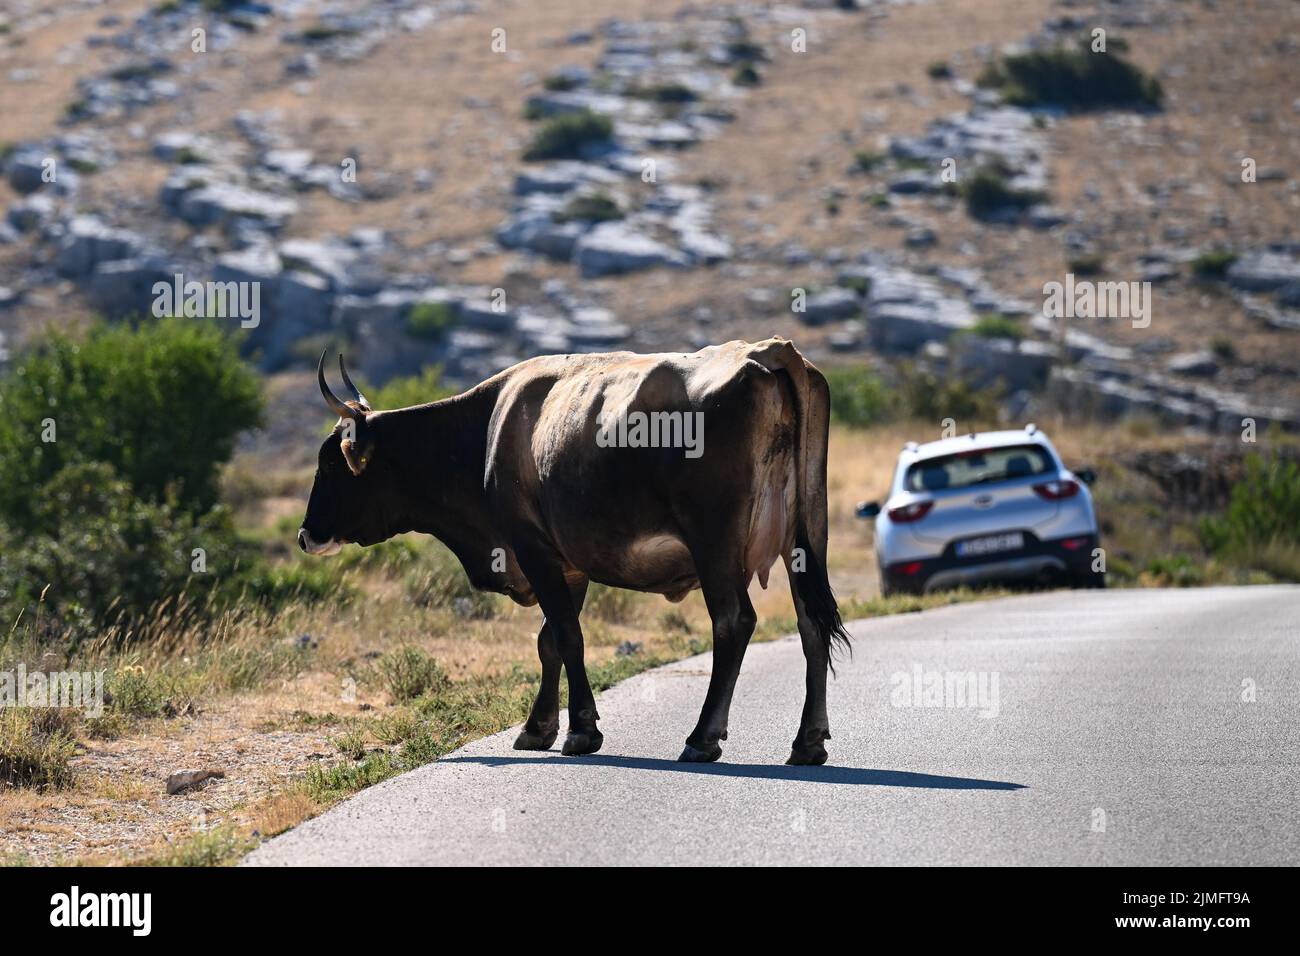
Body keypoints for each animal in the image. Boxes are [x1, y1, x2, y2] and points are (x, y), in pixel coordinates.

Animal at [299, 337, 851, 765]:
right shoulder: (570, 565)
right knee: (810, 623)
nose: (306, 535)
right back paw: (808, 742)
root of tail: (768, 350)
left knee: (734, 622)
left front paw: (581, 729)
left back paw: (702, 738)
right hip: (807, 538)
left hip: (715, 542)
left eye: (330, 464)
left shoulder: (534, 548)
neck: (487, 430)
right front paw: (538, 727)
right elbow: (549, 641)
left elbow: (567, 636)